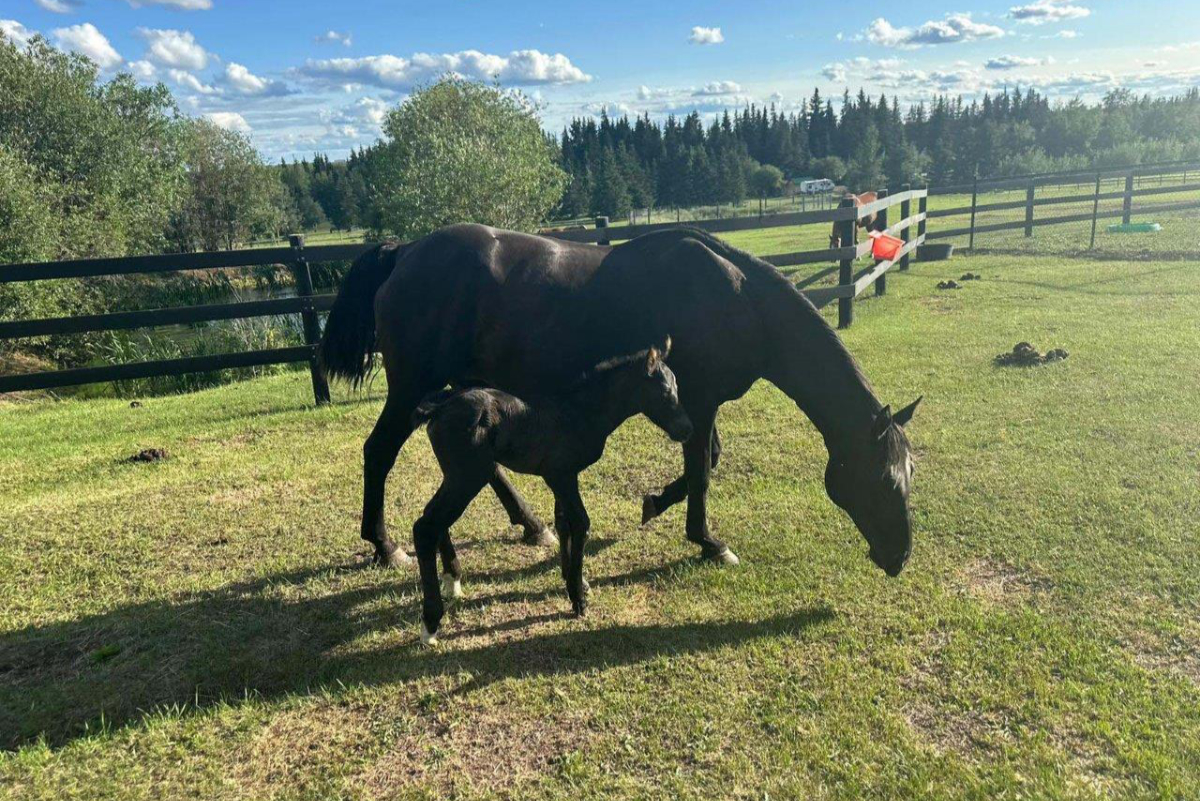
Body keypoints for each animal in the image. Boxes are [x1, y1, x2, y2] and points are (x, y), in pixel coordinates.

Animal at [318, 223, 920, 577]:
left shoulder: (696, 403)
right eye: (883, 479)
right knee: (379, 452)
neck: (737, 296)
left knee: (484, 463)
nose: (899, 557)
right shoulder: (700, 400)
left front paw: (654, 504)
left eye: (908, 474)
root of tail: (404, 251)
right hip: (411, 388)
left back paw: (531, 524)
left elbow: (707, 460)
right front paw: (707, 540)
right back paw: (385, 545)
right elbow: (703, 468)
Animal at [409, 343, 691, 644]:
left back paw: (453, 581)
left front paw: (572, 580)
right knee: (426, 526)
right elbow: (580, 522)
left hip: (456, 476)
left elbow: (563, 522)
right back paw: (430, 623)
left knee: (434, 519)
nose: (687, 430)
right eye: (664, 392)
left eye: (678, 387)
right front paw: (578, 599)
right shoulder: (561, 474)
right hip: (468, 477)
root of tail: (439, 408)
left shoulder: (564, 478)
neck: (581, 411)